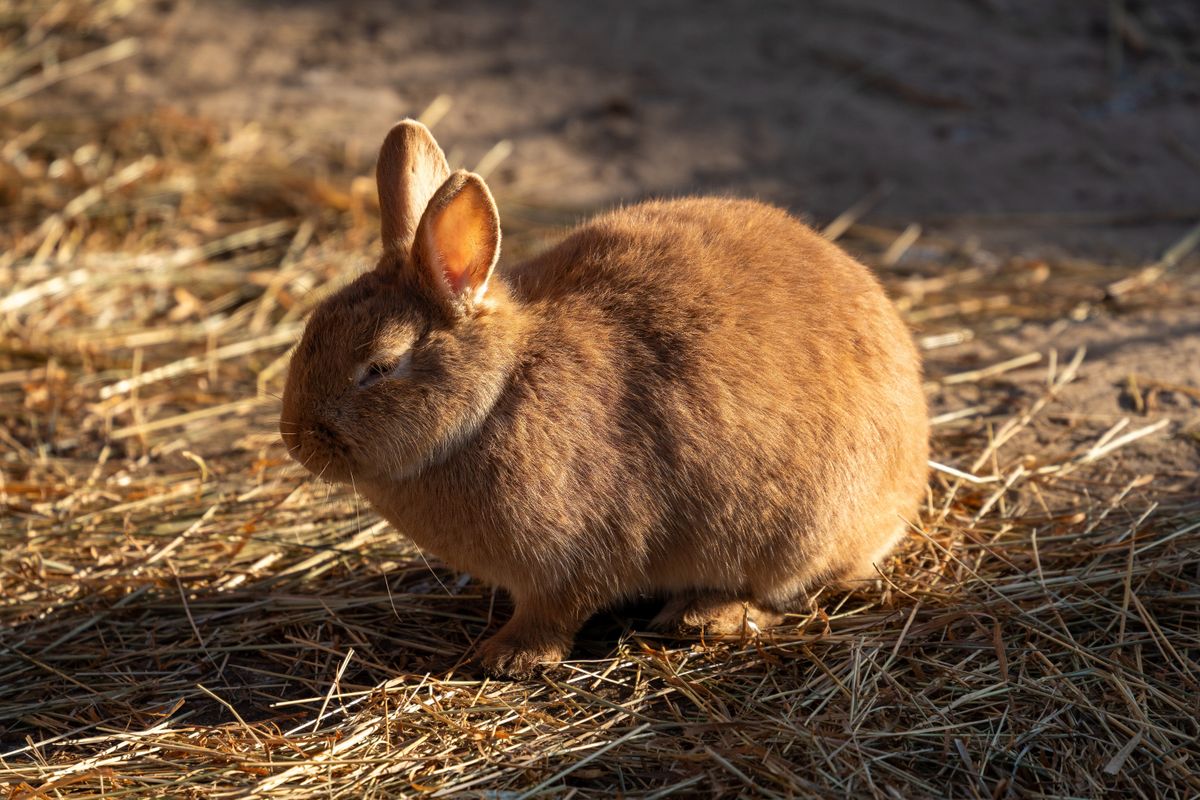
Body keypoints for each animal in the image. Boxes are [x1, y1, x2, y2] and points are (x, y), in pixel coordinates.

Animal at [280, 120, 929, 677]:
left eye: (380, 367)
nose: (295, 442)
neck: (496, 395)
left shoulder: (575, 559)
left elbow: (556, 611)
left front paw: (509, 657)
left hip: (801, 532)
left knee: (793, 593)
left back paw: (704, 617)